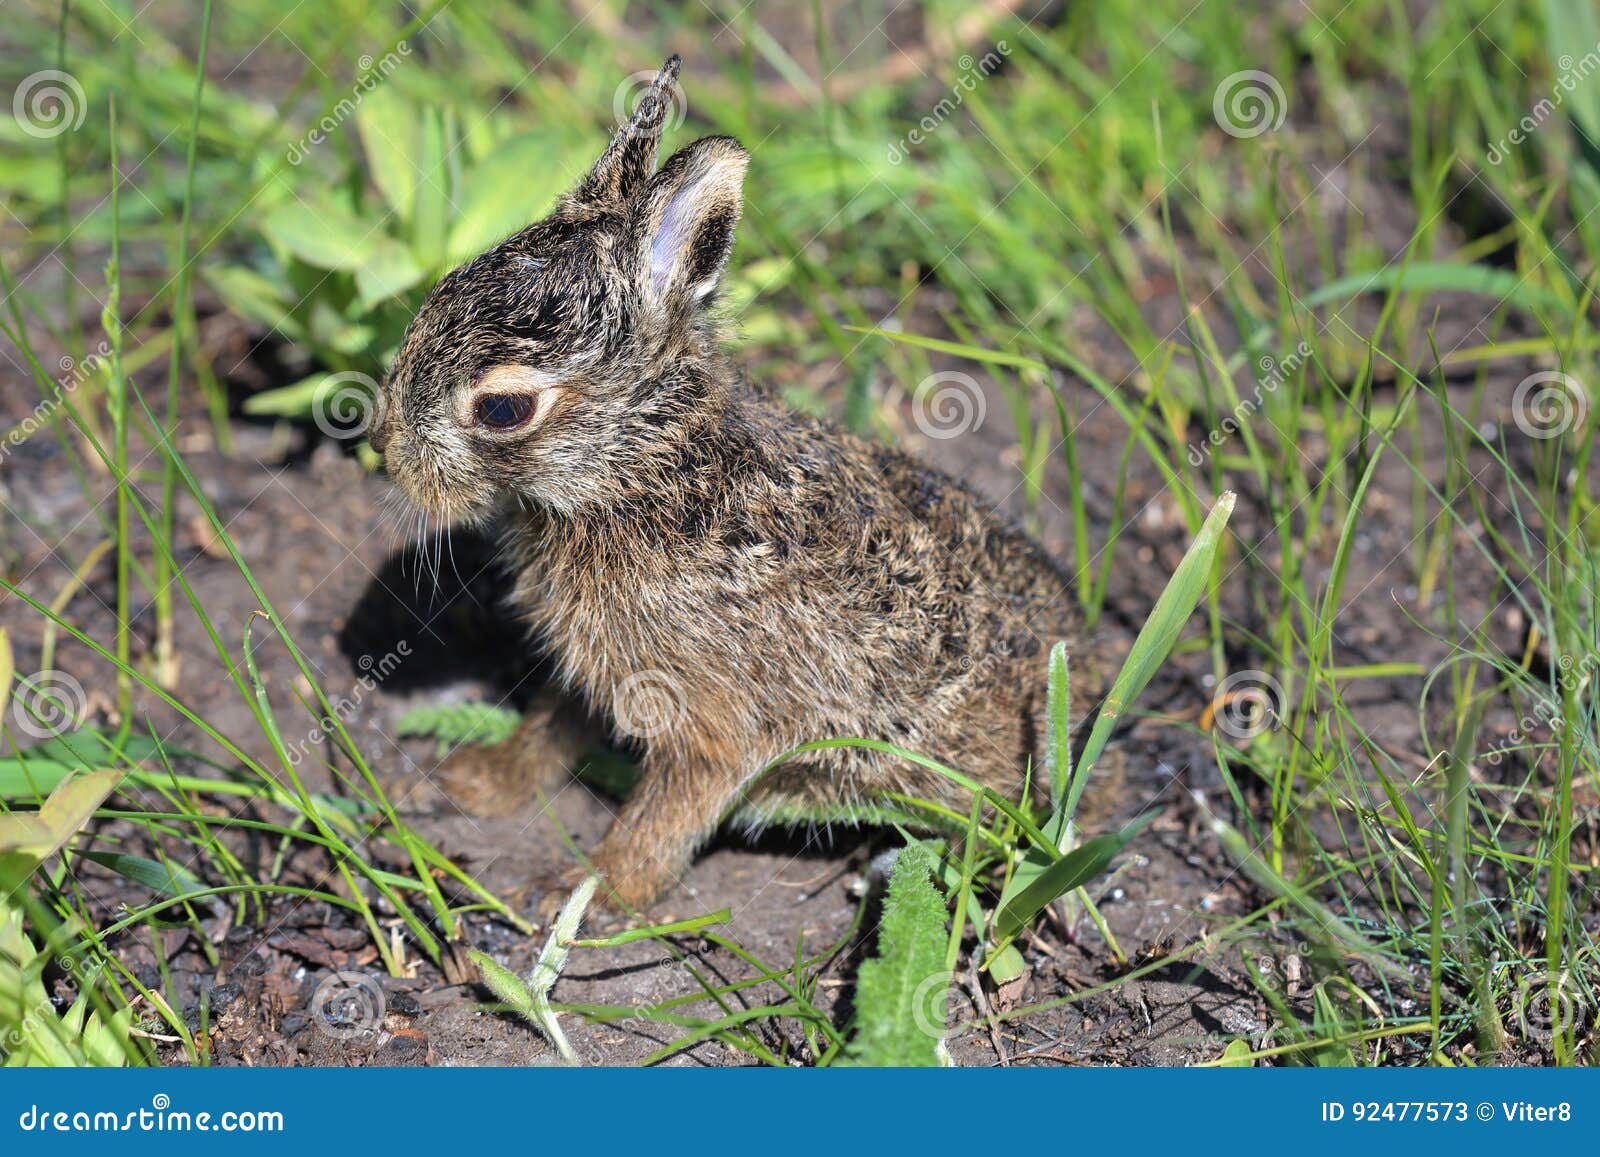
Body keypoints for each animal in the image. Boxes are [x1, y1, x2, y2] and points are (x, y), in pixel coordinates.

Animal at [369, 55, 1101, 911]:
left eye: (503, 409)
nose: (387, 448)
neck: (641, 471)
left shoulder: (713, 720)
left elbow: (667, 811)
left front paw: (587, 890)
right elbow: (552, 727)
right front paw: (476, 782)